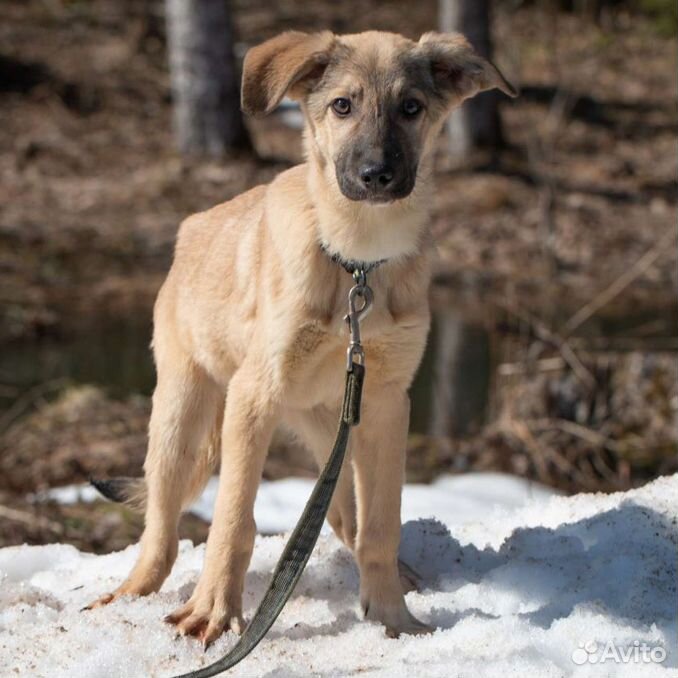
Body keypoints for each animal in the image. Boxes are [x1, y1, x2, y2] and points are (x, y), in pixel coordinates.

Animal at [89, 29, 516, 644]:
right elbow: (233, 521)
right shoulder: (252, 397)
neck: (357, 263)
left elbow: (380, 525)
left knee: (343, 515)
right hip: (182, 418)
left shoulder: (388, 404)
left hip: (335, 432)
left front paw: (392, 619)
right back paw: (129, 595)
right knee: (161, 529)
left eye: (411, 108)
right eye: (342, 106)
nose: (376, 175)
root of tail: (190, 229)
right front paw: (213, 613)